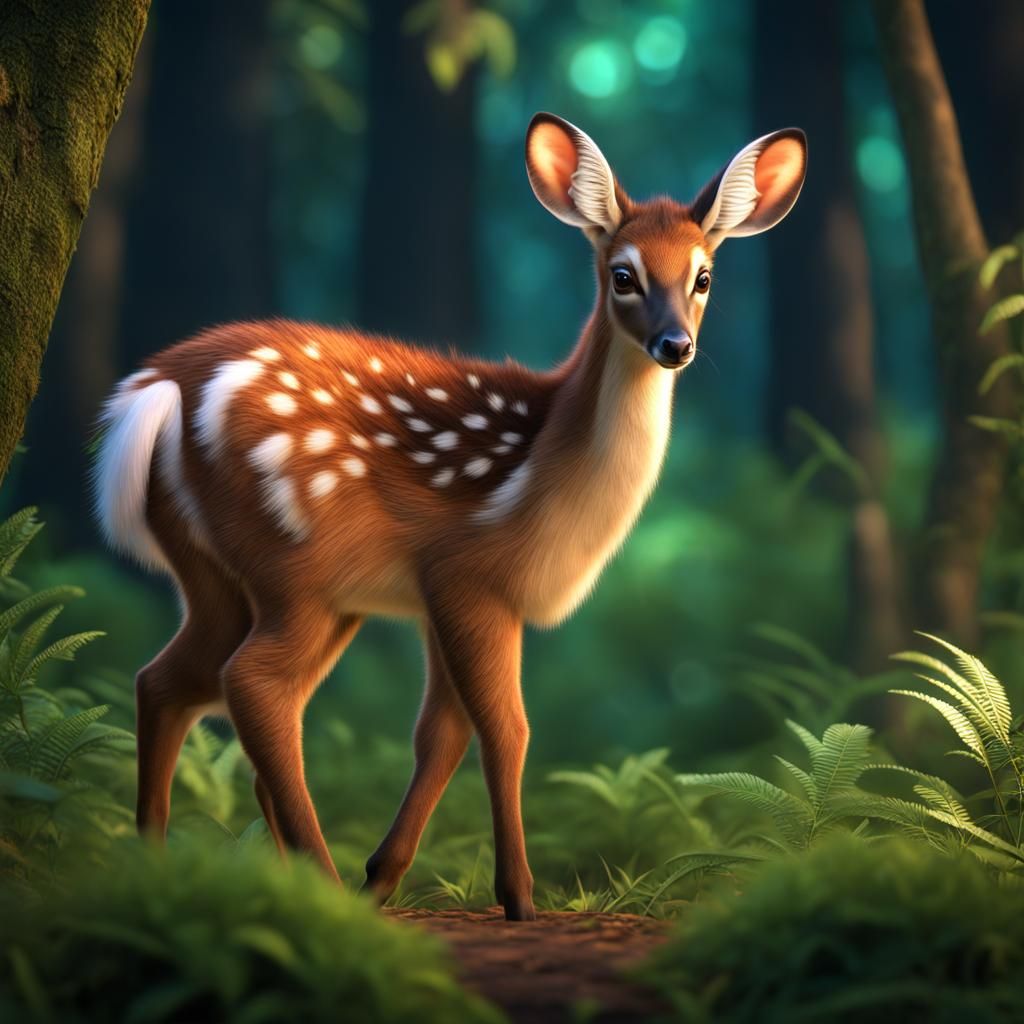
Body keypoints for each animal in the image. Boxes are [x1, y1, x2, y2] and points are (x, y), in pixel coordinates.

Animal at [94, 113, 806, 921]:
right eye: (623, 274)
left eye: (703, 276)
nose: (675, 345)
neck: (547, 476)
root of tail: (160, 390)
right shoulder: (472, 578)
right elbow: (507, 729)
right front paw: (519, 899)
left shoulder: (445, 601)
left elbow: (441, 732)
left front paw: (384, 876)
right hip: (293, 558)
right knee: (253, 685)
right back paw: (318, 883)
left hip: (231, 575)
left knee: (169, 679)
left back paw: (170, 869)